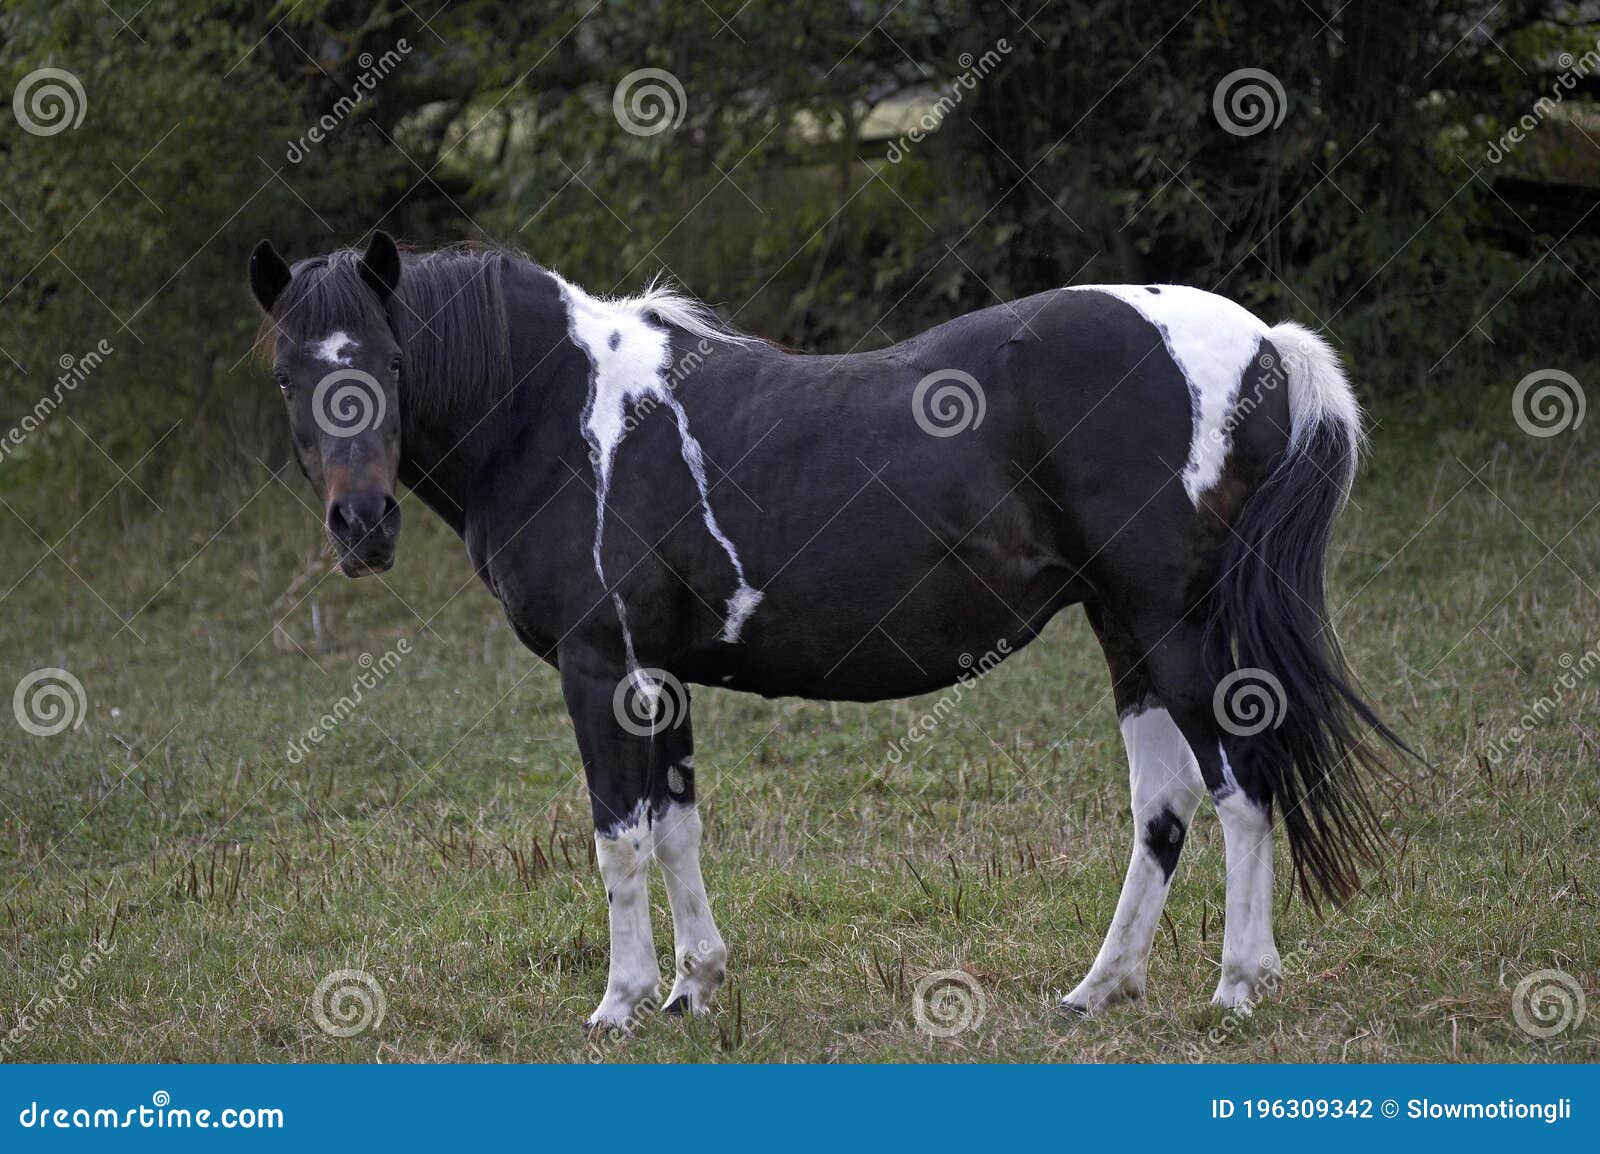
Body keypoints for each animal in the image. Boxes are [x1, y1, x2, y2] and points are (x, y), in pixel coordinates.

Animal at [248, 231, 1406, 1028]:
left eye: (392, 363)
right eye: (289, 373)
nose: (361, 525)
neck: (560, 418)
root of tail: (1264, 344)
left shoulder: (601, 667)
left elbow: (619, 834)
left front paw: (620, 1003)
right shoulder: (661, 675)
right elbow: (677, 825)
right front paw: (694, 989)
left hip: (1174, 626)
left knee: (1241, 788)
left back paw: (1237, 987)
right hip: (1126, 629)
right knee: (1163, 807)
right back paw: (1098, 988)